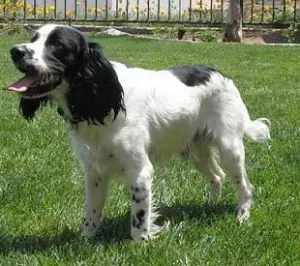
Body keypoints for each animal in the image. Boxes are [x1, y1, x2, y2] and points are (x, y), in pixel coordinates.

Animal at [8, 24, 270, 241]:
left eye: (58, 44)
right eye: (34, 38)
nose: (15, 51)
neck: (103, 101)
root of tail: (223, 76)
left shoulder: (140, 171)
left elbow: (139, 214)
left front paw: (140, 243)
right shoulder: (94, 171)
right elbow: (91, 212)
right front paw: (86, 239)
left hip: (229, 148)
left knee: (245, 187)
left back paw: (242, 216)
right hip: (196, 151)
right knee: (217, 177)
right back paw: (209, 206)